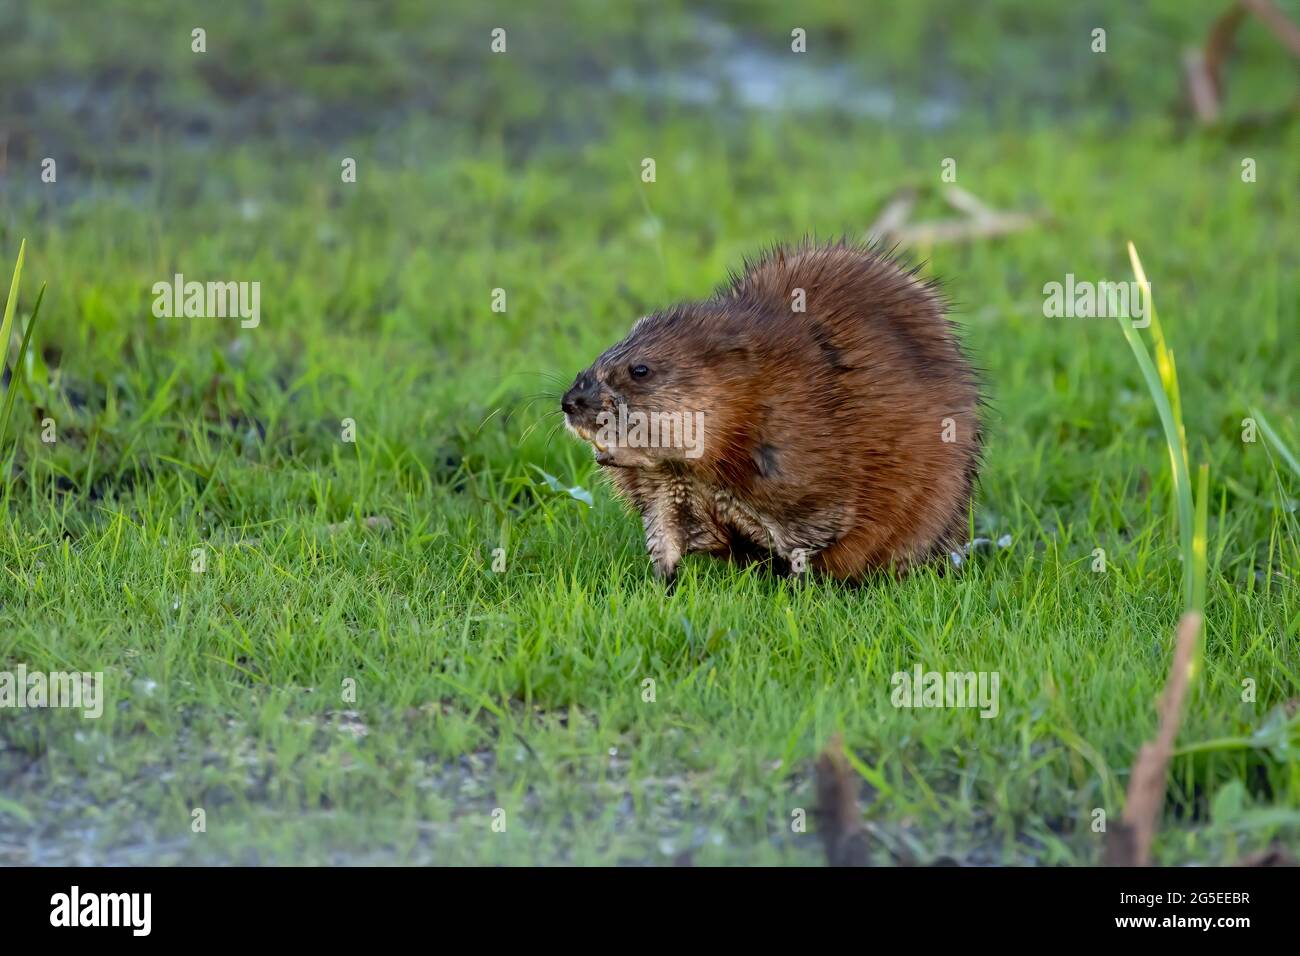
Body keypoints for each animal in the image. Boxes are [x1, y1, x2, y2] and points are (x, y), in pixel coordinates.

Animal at [561, 240, 981, 587]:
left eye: (640, 370)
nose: (569, 403)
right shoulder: (667, 484)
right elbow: (663, 527)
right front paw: (662, 583)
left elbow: (810, 533)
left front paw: (794, 586)